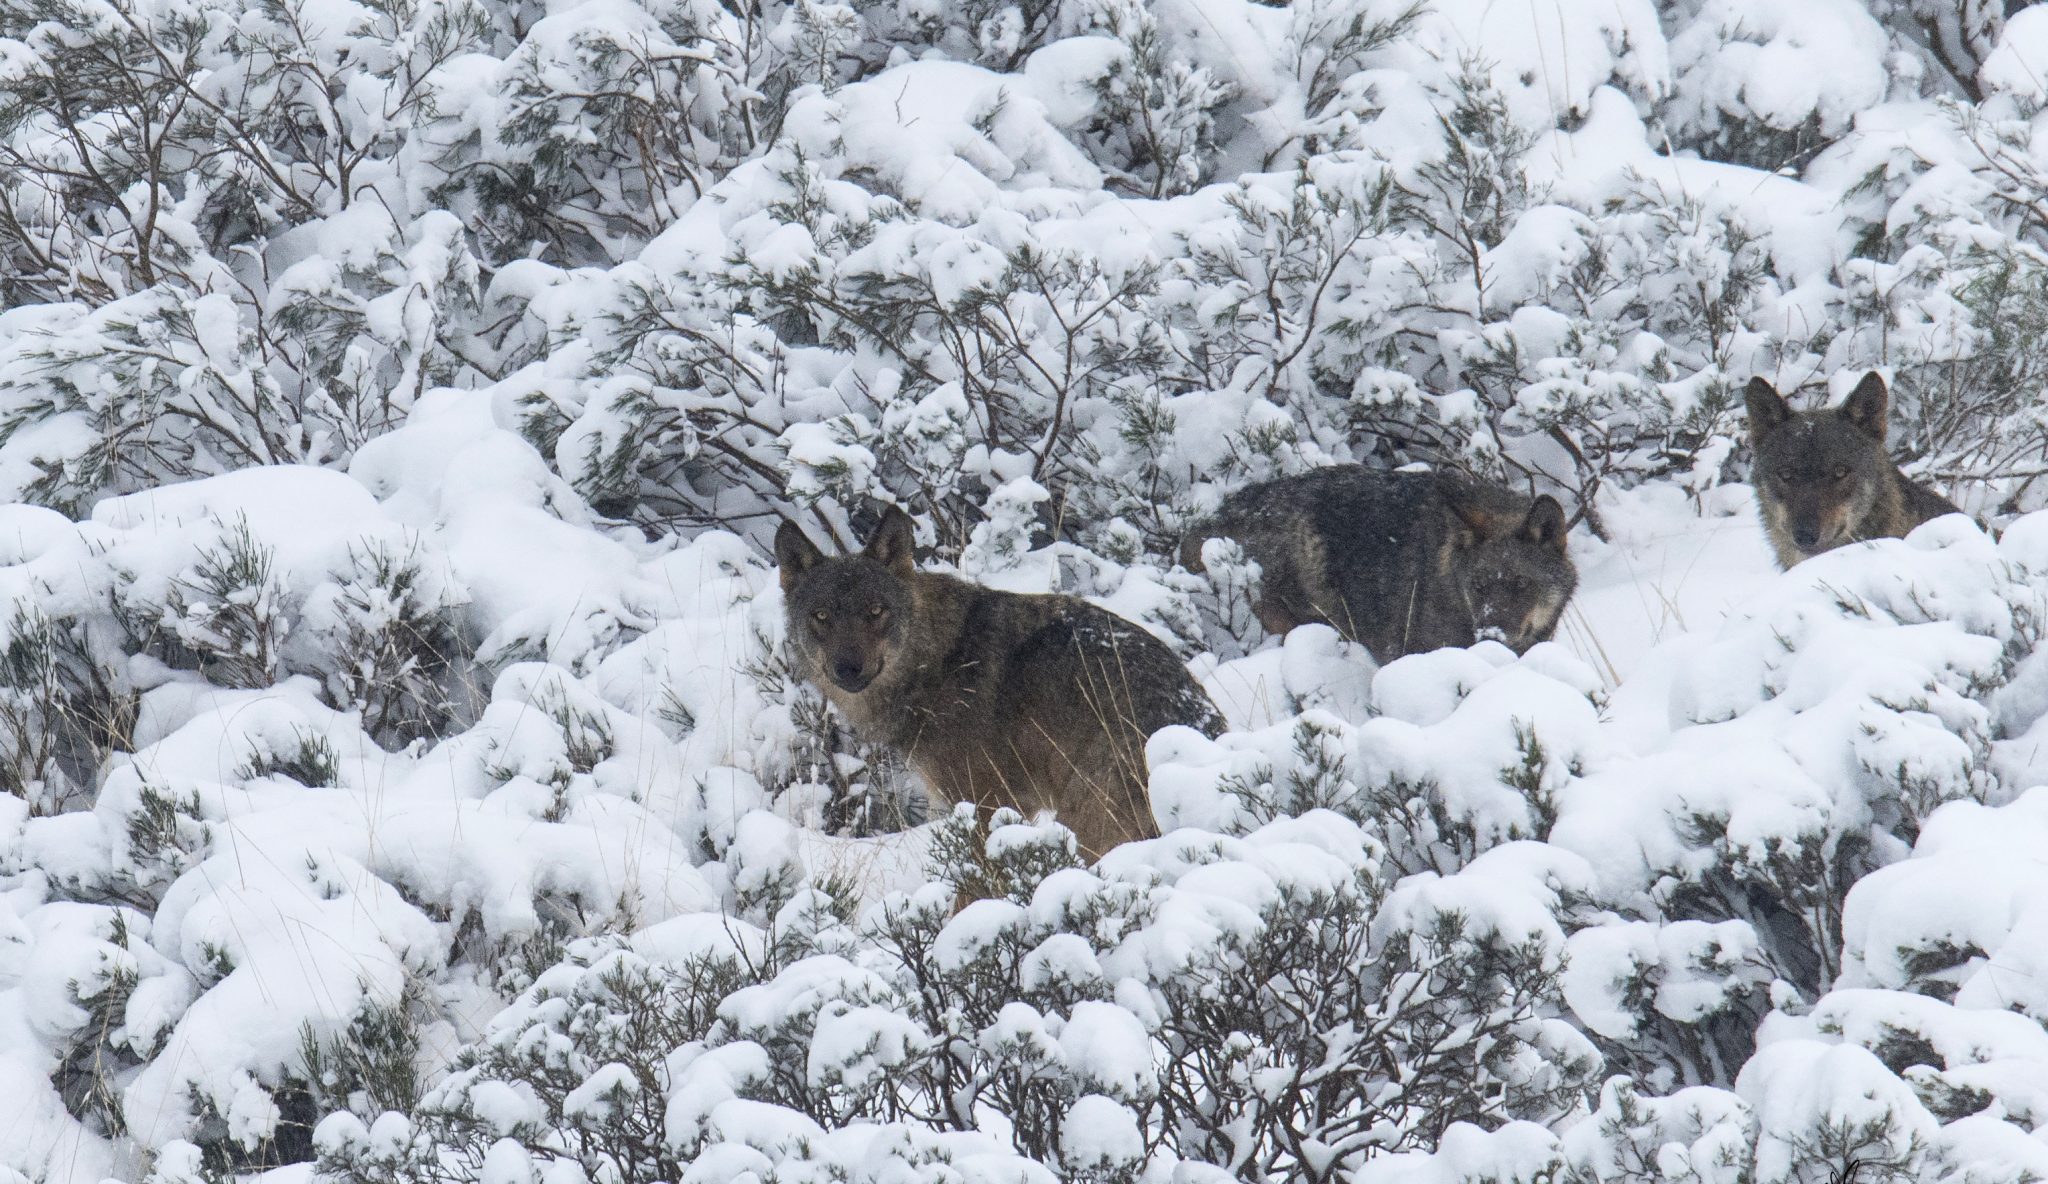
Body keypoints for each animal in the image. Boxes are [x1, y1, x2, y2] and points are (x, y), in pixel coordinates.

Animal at [776, 506, 1223, 860]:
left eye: (875, 611)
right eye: (821, 616)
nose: (847, 668)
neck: (938, 659)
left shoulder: (987, 802)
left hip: (1086, 820)